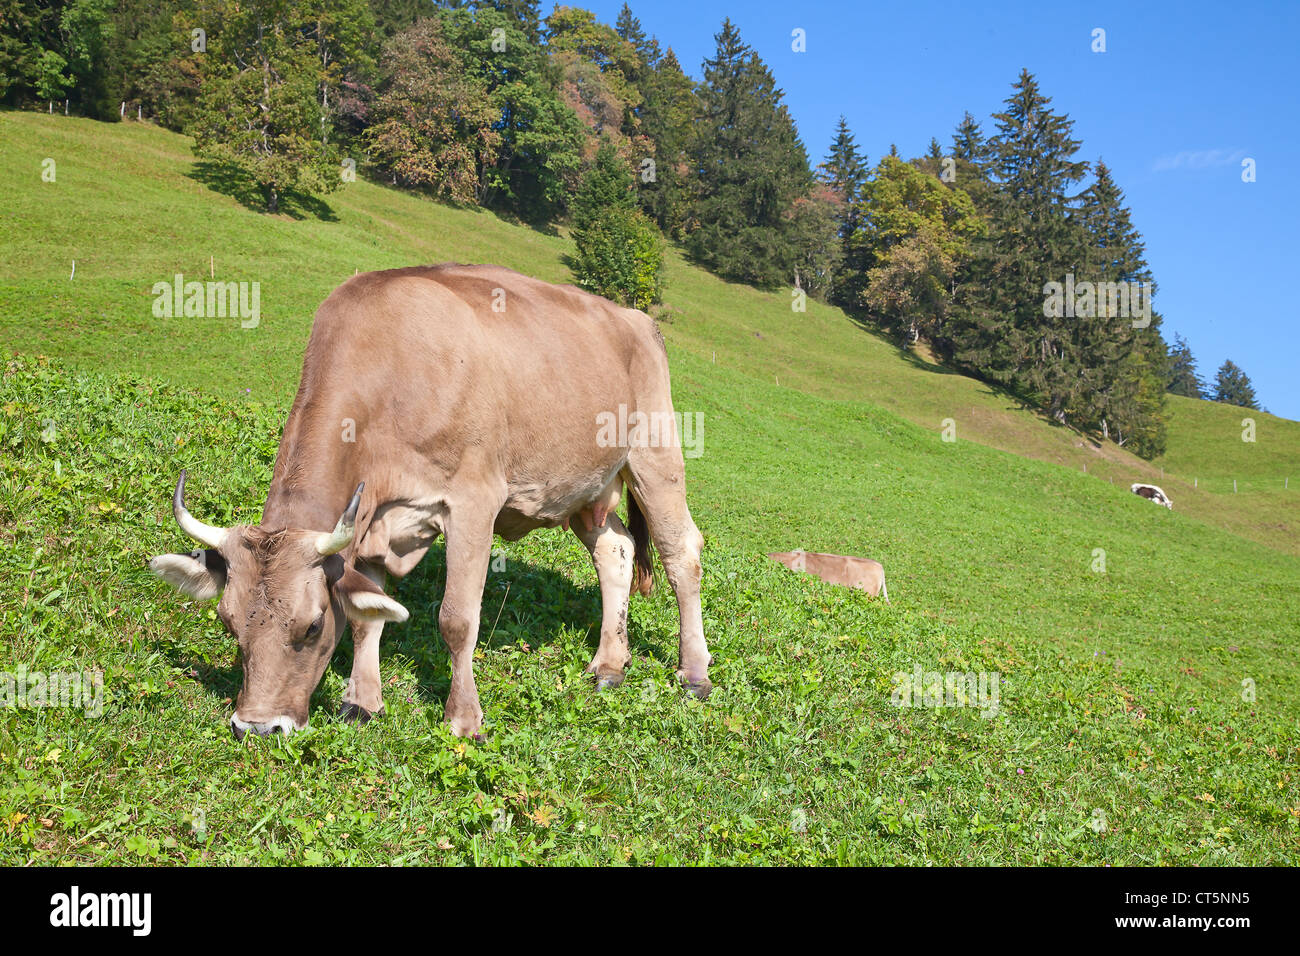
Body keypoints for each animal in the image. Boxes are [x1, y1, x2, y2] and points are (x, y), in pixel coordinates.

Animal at [148, 264, 710, 740]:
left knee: (682, 554)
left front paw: (464, 718)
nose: (258, 727)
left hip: (656, 455)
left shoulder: (473, 500)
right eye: (228, 623)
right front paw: (362, 700)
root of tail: (634, 317)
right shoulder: (371, 519)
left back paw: (694, 672)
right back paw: (609, 663)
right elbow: (367, 614)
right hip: (585, 487)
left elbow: (457, 620)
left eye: (311, 626)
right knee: (616, 551)